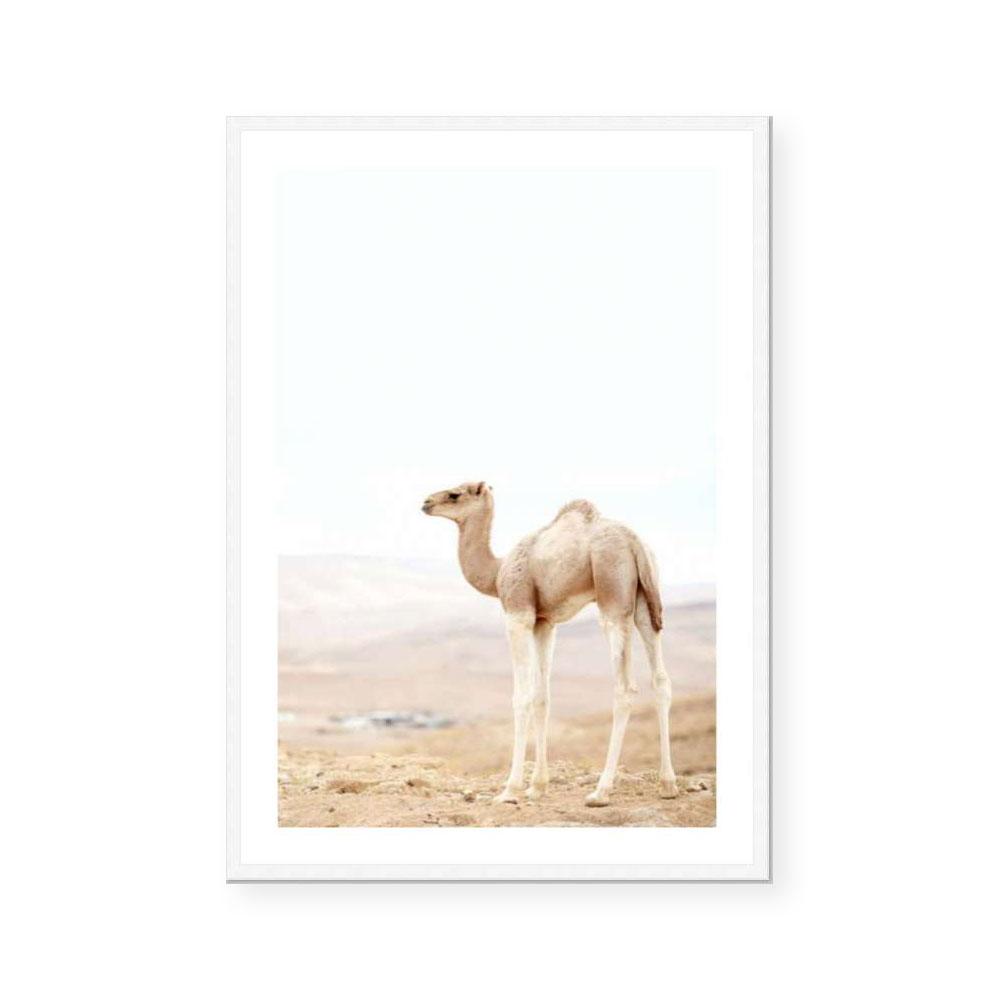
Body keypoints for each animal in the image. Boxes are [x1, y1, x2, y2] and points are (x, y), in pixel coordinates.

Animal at [422, 481, 678, 806]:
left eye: (455, 494)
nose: (426, 502)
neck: (497, 572)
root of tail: (636, 544)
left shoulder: (518, 613)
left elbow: (521, 698)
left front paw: (510, 790)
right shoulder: (544, 622)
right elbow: (542, 697)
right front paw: (537, 786)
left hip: (612, 596)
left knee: (624, 687)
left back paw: (601, 791)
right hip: (645, 600)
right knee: (661, 680)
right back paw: (668, 784)